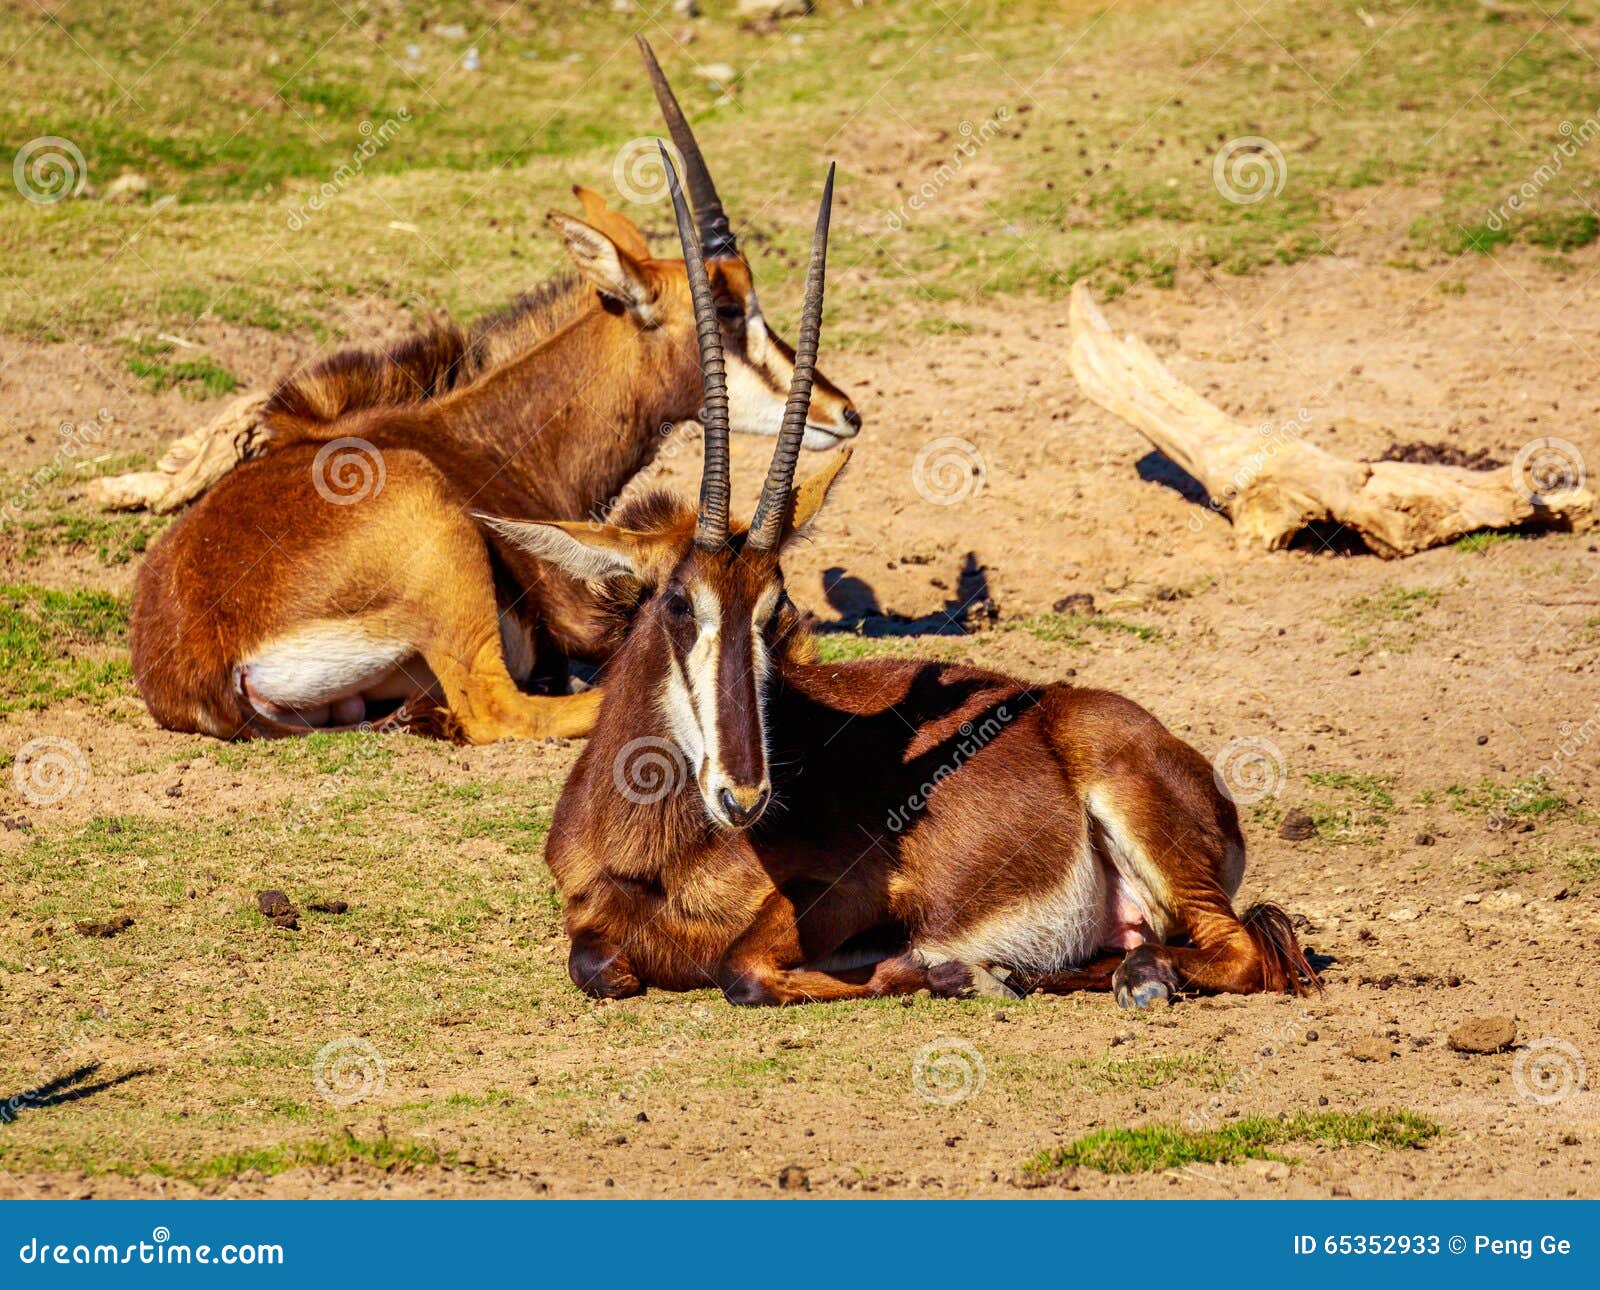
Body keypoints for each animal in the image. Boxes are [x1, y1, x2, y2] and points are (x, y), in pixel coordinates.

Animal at [129, 40, 860, 744]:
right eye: (731, 310)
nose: (844, 411)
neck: (491, 440)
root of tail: (207, 663)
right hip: (444, 554)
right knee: (503, 710)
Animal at [485, 154, 1319, 1009]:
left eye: (776, 611)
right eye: (681, 602)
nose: (744, 799)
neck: (656, 851)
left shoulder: (851, 890)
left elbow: (741, 969)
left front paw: (942, 967)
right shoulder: (588, 921)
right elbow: (597, 965)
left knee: (1241, 950)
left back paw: (1093, 975)